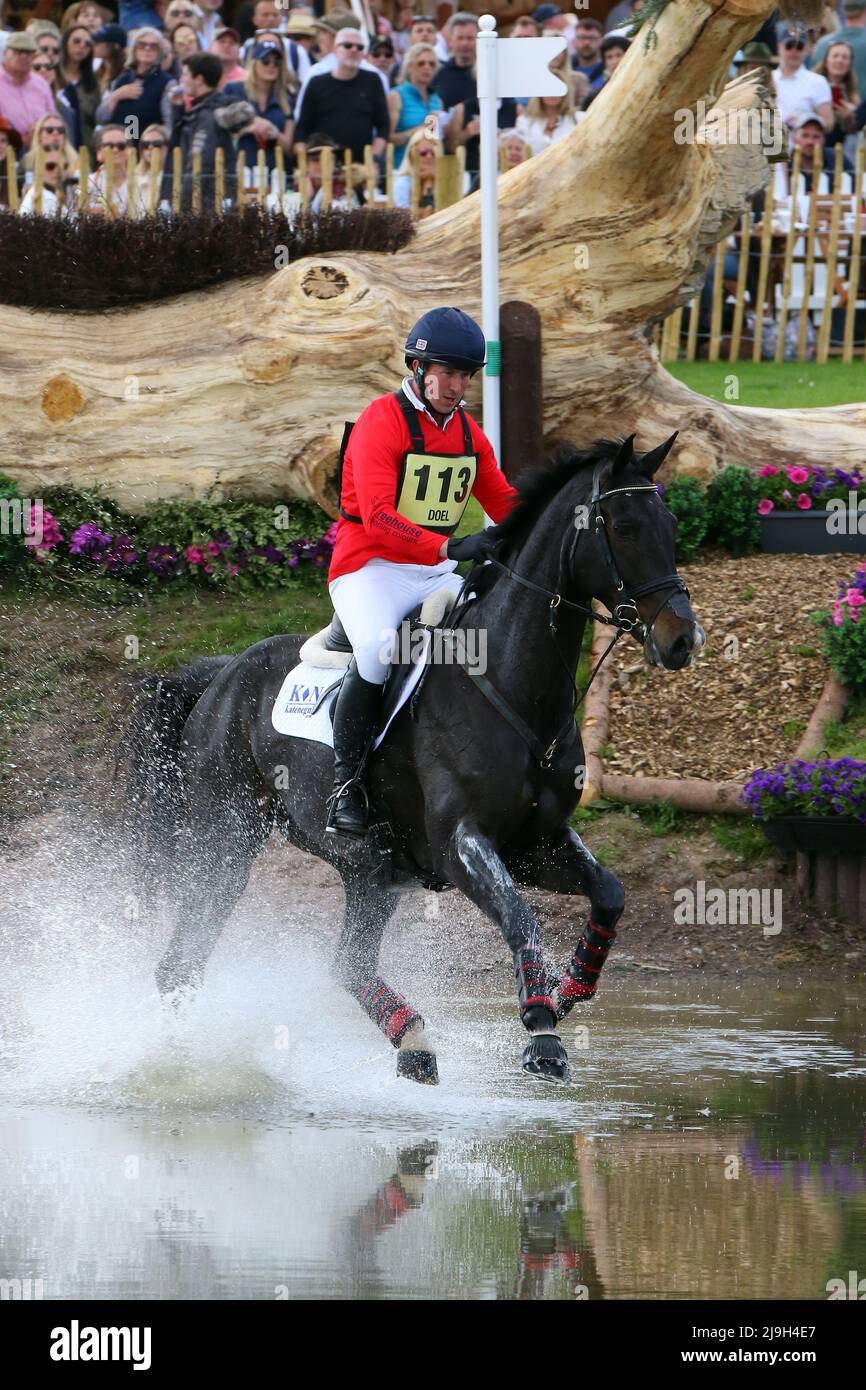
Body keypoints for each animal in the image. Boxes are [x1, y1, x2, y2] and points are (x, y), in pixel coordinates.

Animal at [124, 433, 704, 1085]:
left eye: (670, 525)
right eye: (624, 527)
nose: (682, 639)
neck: (510, 684)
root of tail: (222, 674)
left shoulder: (536, 843)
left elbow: (609, 892)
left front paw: (569, 989)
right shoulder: (462, 846)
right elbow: (521, 918)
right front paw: (542, 1033)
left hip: (370, 872)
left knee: (347, 964)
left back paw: (414, 1043)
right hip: (224, 841)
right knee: (183, 961)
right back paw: (183, 1066)